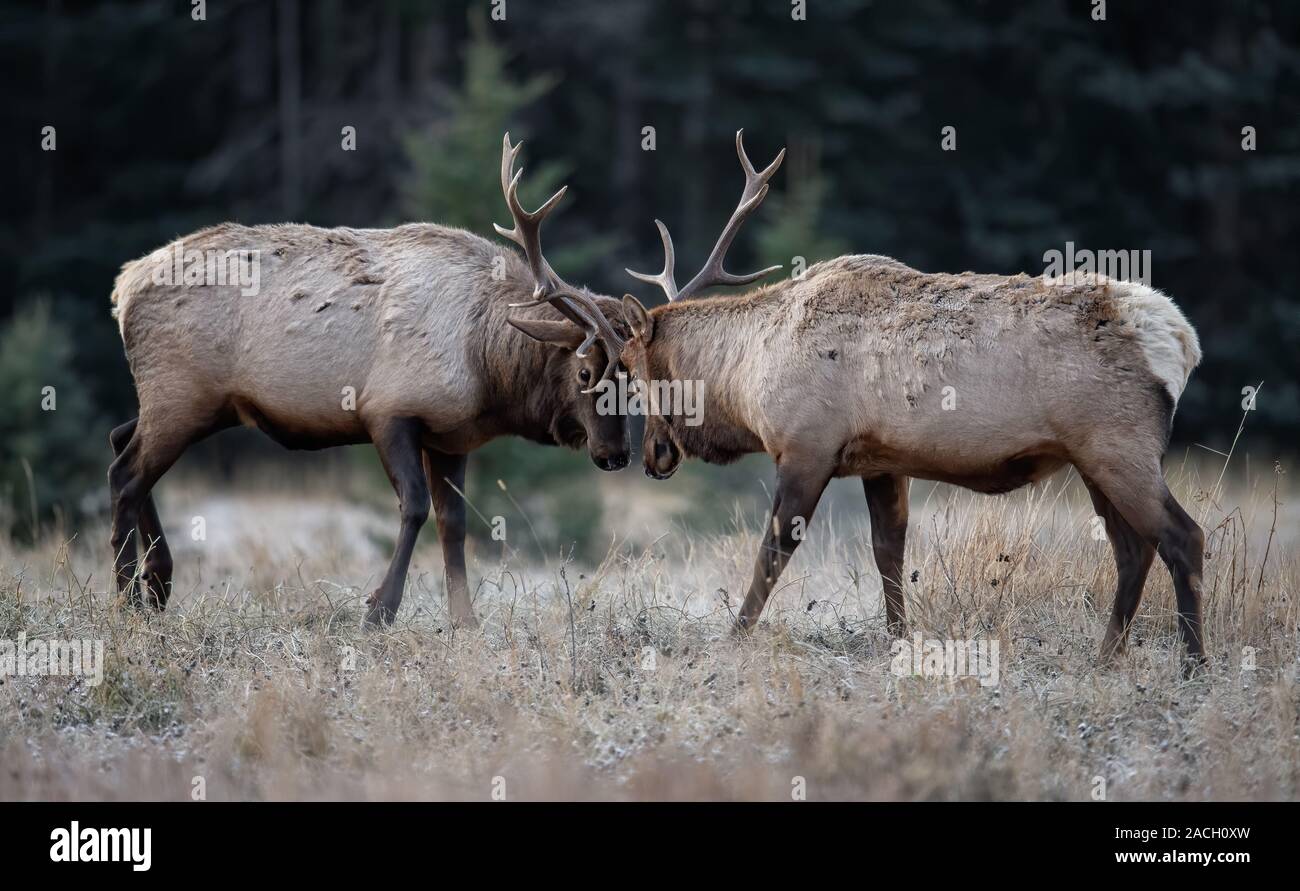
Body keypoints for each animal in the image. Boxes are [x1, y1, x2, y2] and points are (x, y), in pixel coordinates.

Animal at [107, 134, 631, 629]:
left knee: (119, 438)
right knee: (125, 474)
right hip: (181, 396)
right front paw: (379, 610)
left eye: (633, 382)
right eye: (585, 372)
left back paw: (157, 583)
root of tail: (123, 287)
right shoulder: (388, 411)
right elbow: (415, 507)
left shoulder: (450, 437)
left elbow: (455, 522)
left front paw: (464, 620)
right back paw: (128, 597)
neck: (484, 364)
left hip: (195, 403)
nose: (616, 454)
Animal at [617, 131, 1207, 671]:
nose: (650, 457)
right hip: (1094, 458)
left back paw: (1194, 662)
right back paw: (1106, 656)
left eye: (634, 371)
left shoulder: (807, 447)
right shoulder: (880, 461)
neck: (747, 378)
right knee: (1133, 549)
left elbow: (772, 553)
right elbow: (889, 555)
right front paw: (899, 641)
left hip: (1118, 445)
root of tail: (1182, 340)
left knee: (1182, 537)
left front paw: (733, 638)